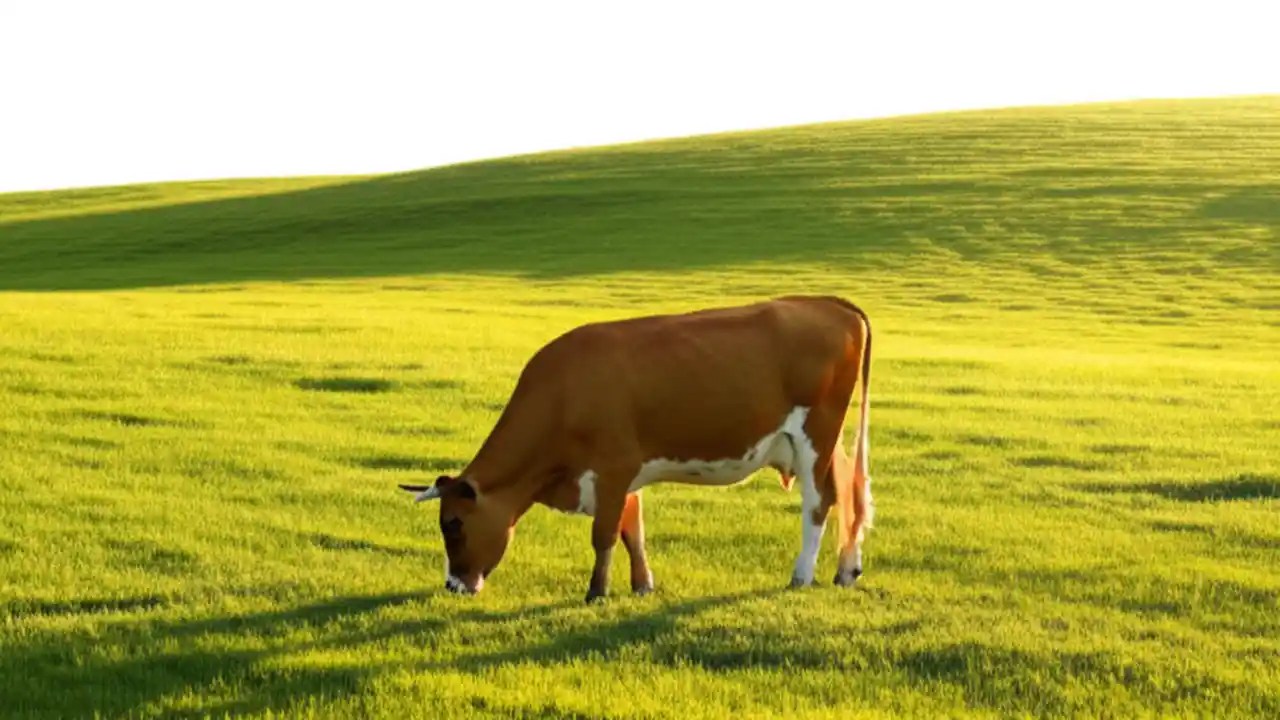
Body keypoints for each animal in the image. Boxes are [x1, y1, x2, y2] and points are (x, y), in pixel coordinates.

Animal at [398, 295, 874, 602]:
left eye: (453, 524)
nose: (453, 585)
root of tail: (828, 302)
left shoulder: (613, 466)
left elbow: (605, 534)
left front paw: (596, 592)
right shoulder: (625, 473)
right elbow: (633, 530)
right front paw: (642, 585)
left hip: (816, 431)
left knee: (819, 502)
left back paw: (801, 575)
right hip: (822, 442)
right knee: (847, 492)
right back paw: (845, 570)